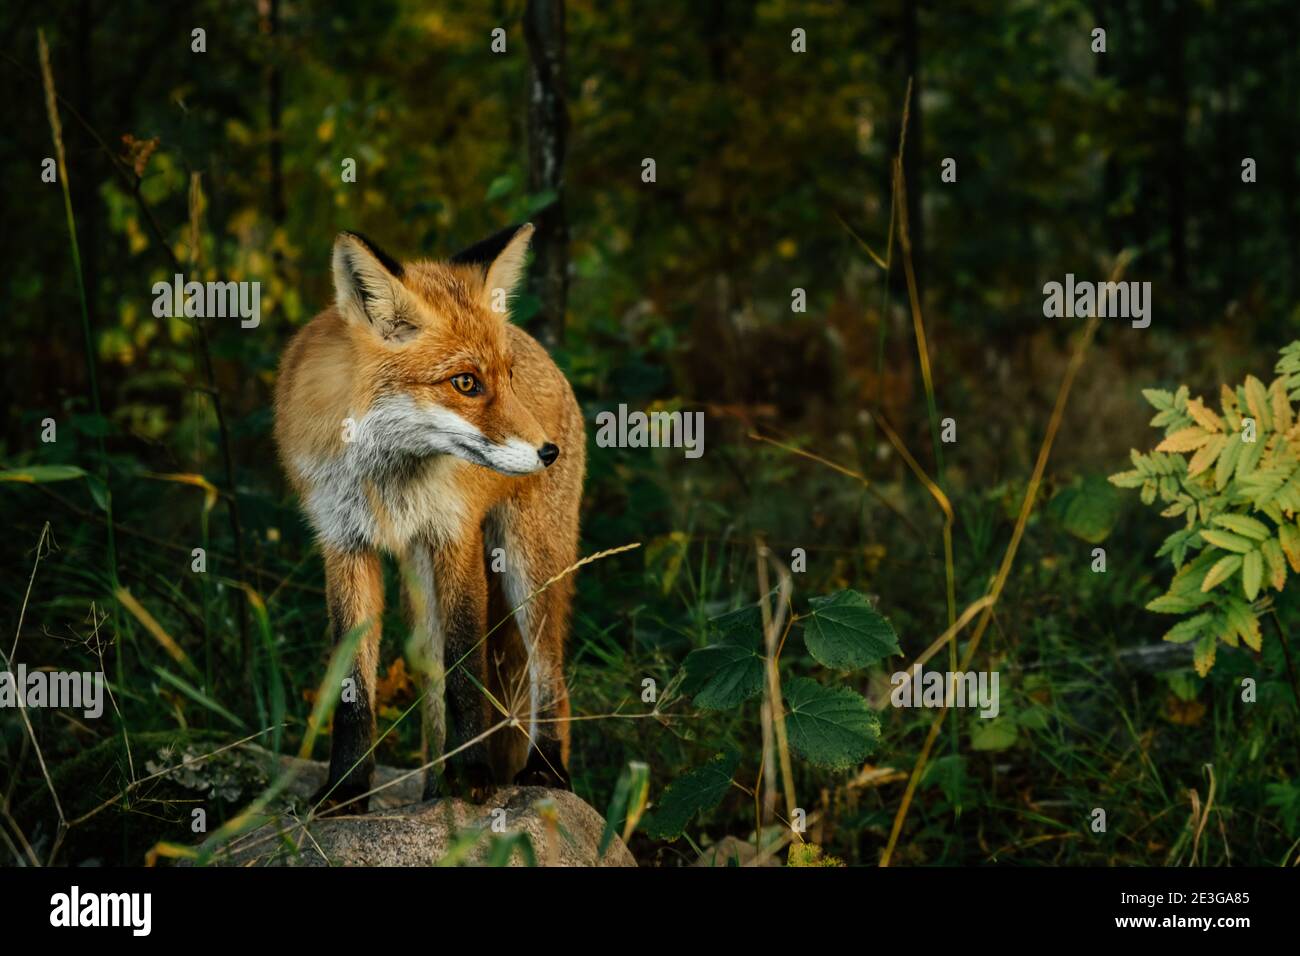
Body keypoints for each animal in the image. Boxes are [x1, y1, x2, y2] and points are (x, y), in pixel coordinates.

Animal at [273, 223, 584, 810]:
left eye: (507, 377)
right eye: (465, 382)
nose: (548, 452)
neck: (386, 474)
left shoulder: (453, 536)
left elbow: (468, 670)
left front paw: (476, 776)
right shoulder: (343, 545)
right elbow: (355, 692)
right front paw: (346, 792)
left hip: (527, 564)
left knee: (549, 670)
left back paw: (545, 768)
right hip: (419, 599)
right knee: (433, 681)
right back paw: (433, 786)